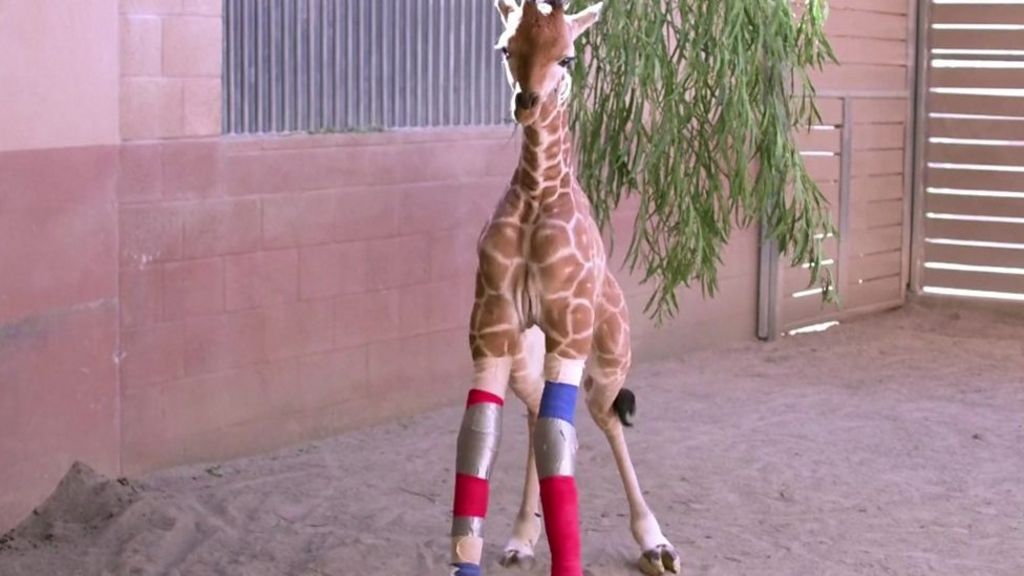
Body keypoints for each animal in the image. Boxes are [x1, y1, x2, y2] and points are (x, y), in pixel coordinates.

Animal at [447, 1, 681, 575]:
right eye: (506, 47)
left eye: (568, 56)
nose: (526, 104)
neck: (538, 193)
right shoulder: (491, 332)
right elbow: (478, 438)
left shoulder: (571, 331)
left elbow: (561, 442)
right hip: (526, 361)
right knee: (536, 416)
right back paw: (520, 537)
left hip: (607, 363)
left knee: (605, 420)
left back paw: (655, 544)